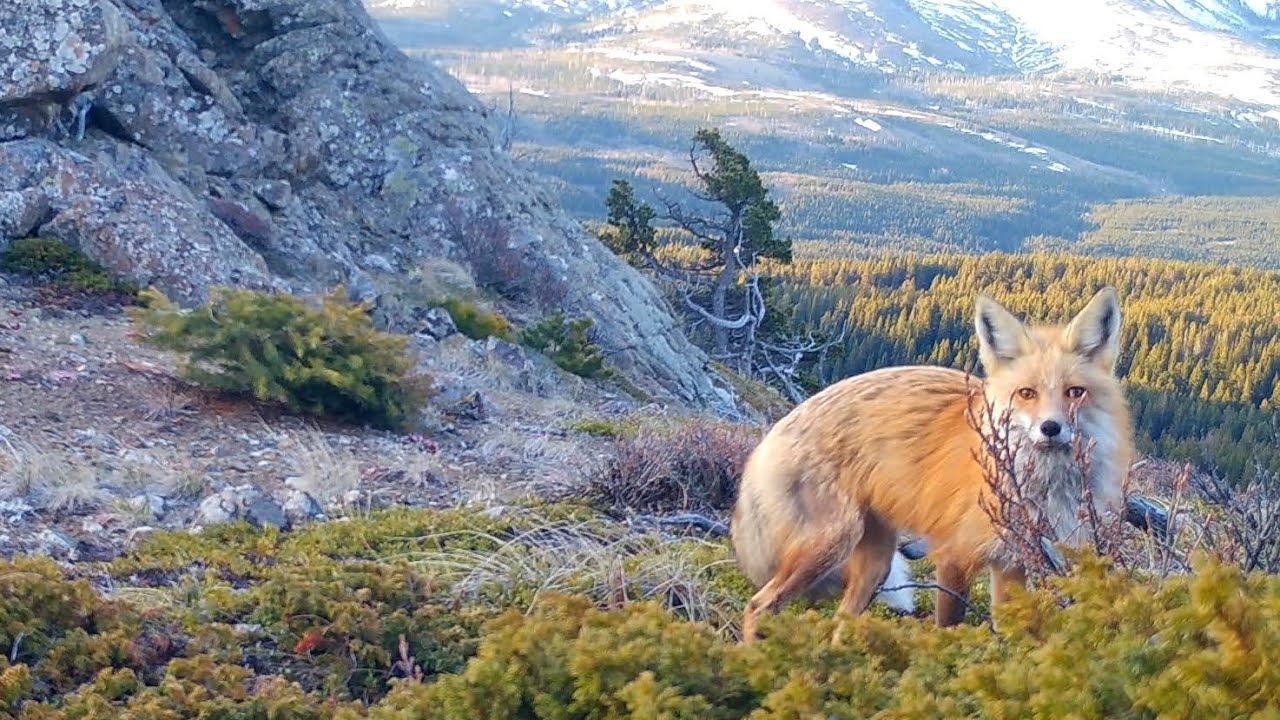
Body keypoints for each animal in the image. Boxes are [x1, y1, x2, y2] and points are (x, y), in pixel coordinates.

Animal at [730, 287, 1134, 643]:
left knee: (839, 623)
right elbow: (948, 631)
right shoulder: (955, 555)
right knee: (757, 606)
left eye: (1075, 392)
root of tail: (773, 432)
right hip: (828, 544)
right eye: (1027, 393)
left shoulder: (1011, 562)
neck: (1032, 484)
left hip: (876, 565)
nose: (1051, 428)